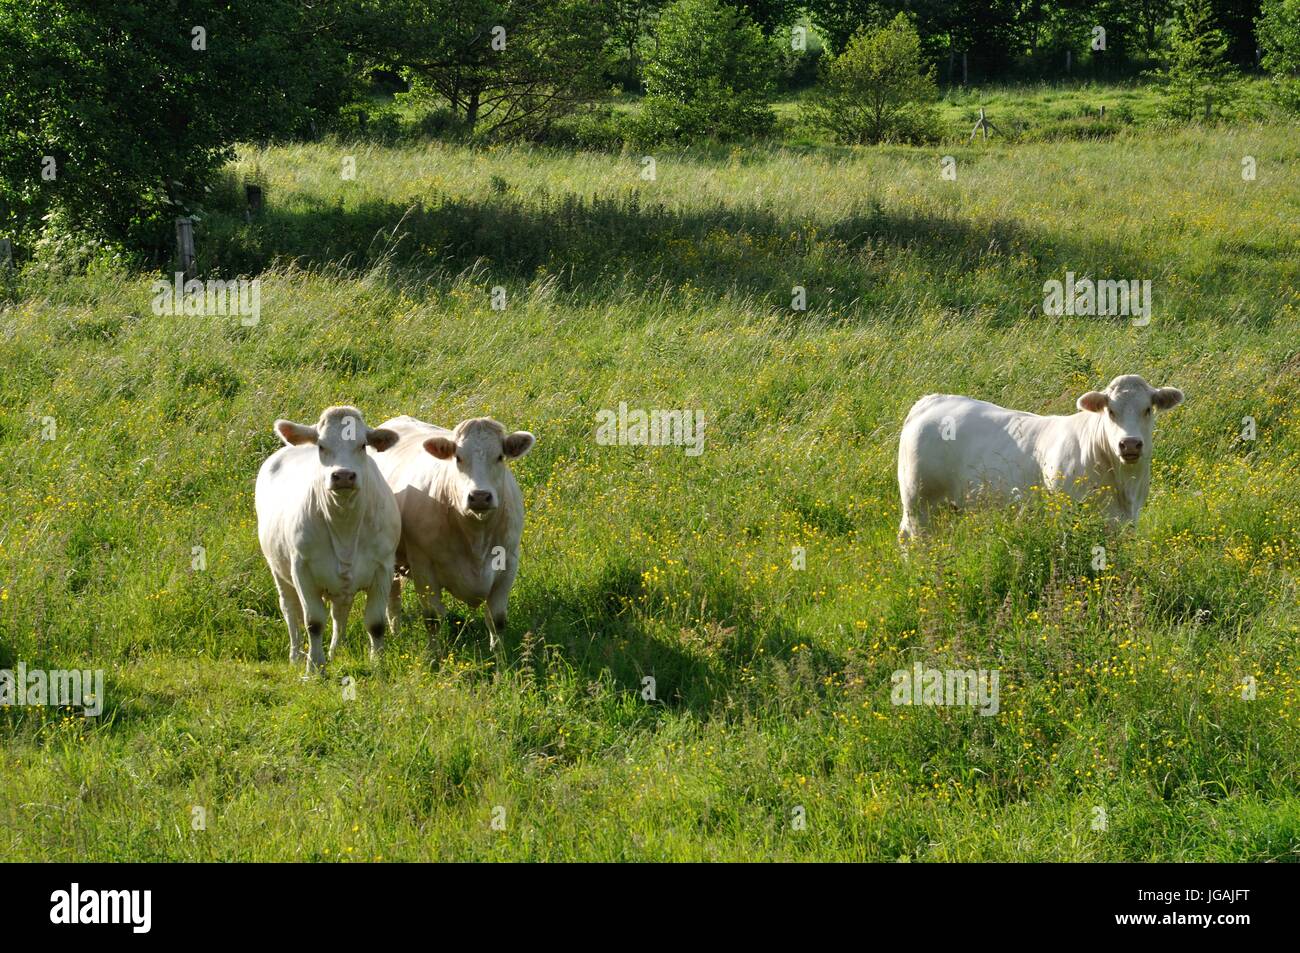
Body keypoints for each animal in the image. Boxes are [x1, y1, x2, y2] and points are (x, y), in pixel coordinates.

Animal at [254, 406, 402, 675]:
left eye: (362, 445)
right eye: (321, 446)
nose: (343, 475)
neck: (344, 525)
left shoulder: (384, 567)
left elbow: (375, 623)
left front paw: (377, 664)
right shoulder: (301, 568)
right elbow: (313, 621)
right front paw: (314, 667)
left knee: (339, 613)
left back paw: (336, 650)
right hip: (278, 570)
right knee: (290, 610)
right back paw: (296, 656)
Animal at [369, 415, 534, 660]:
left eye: (499, 457)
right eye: (458, 457)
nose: (480, 496)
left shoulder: (508, 563)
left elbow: (497, 619)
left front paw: (500, 657)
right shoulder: (423, 565)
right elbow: (432, 618)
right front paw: (434, 658)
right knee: (393, 596)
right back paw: (395, 632)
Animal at [897, 375, 1183, 539]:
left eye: (1148, 409)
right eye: (1111, 411)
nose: (1130, 444)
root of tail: (932, 400)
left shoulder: (1127, 521)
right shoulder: (1068, 512)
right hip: (919, 502)